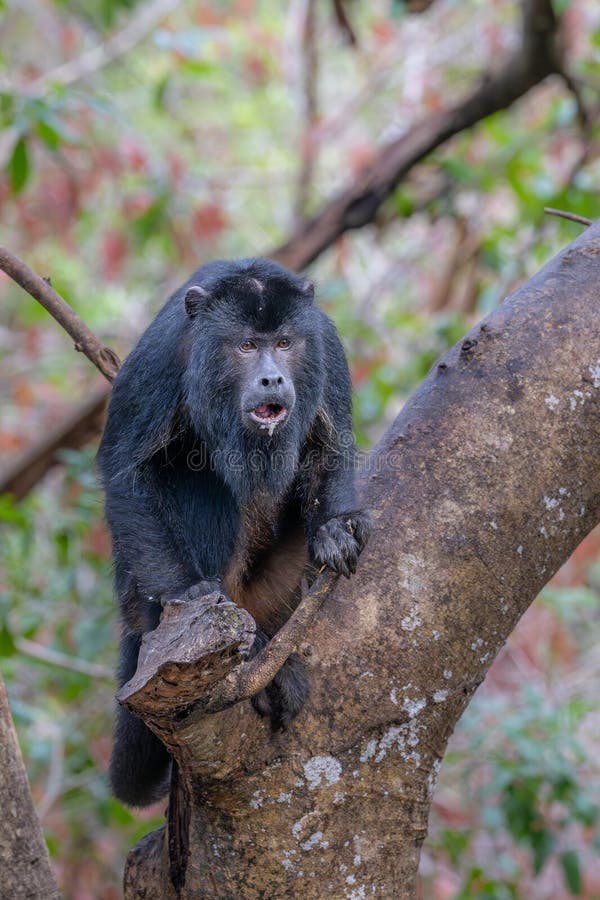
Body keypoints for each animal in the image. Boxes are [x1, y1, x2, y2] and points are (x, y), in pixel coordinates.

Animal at [97, 258, 370, 807]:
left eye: (284, 343)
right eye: (246, 346)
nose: (272, 377)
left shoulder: (325, 346)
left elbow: (331, 443)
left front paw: (334, 530)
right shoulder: (162, 356)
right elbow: (128, 471)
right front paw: (189, 594)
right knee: (198, 481)